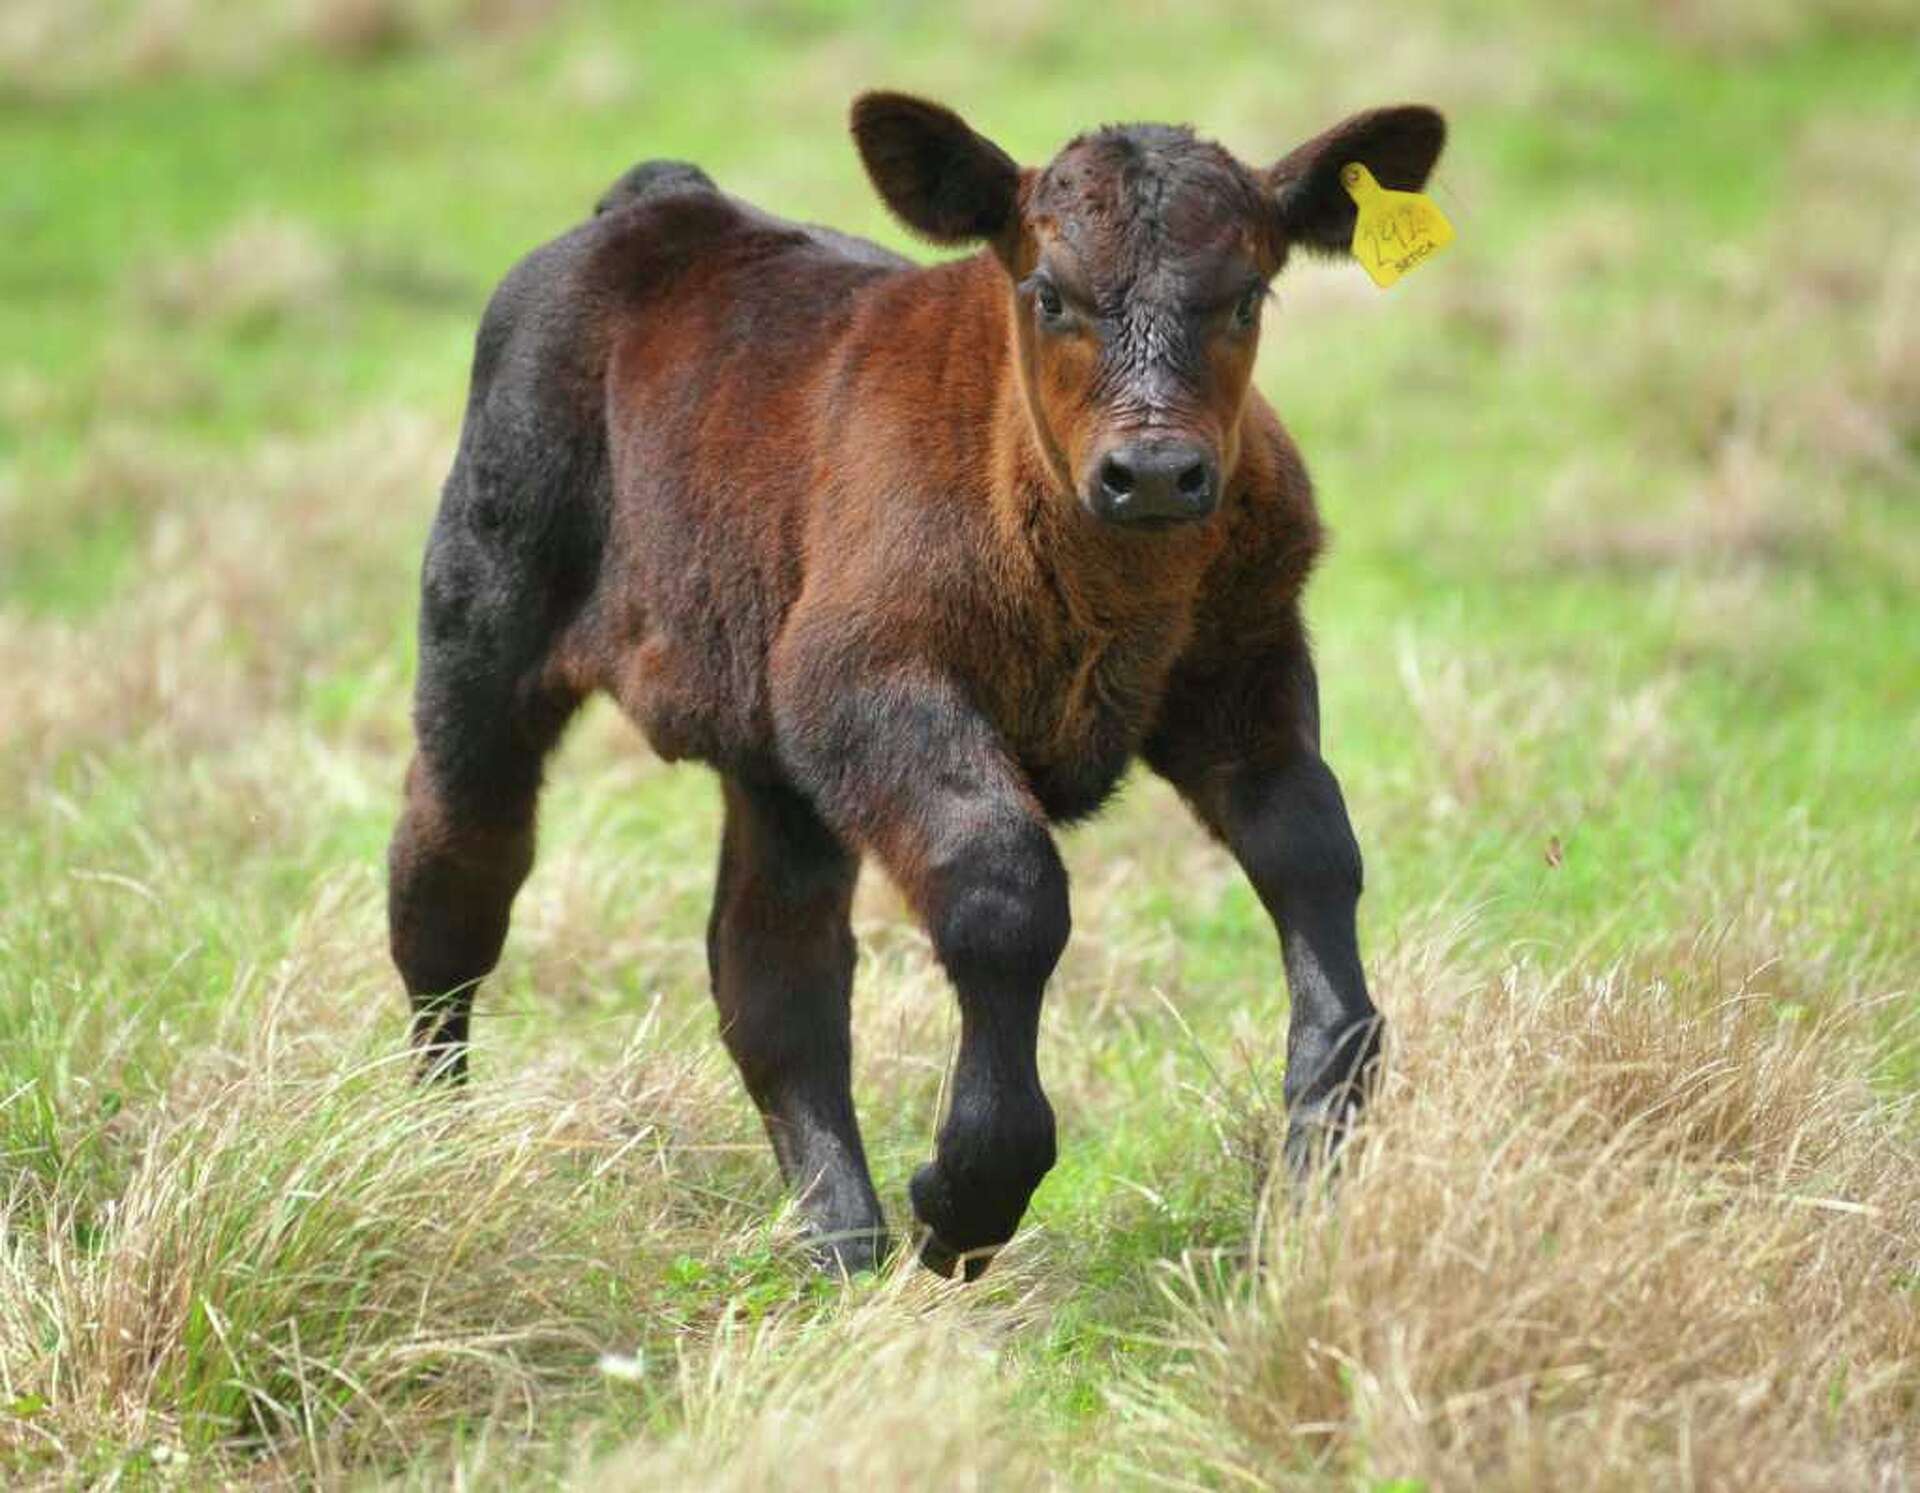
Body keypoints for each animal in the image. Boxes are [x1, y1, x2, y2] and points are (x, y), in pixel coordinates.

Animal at [386, 93, 1446, 1279]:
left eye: (1248, 293)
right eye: (1049, 293)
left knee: (773, 970)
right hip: (482, 622)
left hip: (770, 747)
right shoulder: (866, 677)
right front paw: (968, 1193)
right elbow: (1005, 888)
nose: (1157, 474)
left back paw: (840, 1239)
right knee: (454, 877)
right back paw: (433, 1140)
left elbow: (1314, 850)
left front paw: (1319, 1134)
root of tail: (661, 202)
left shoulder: (1241, 663)